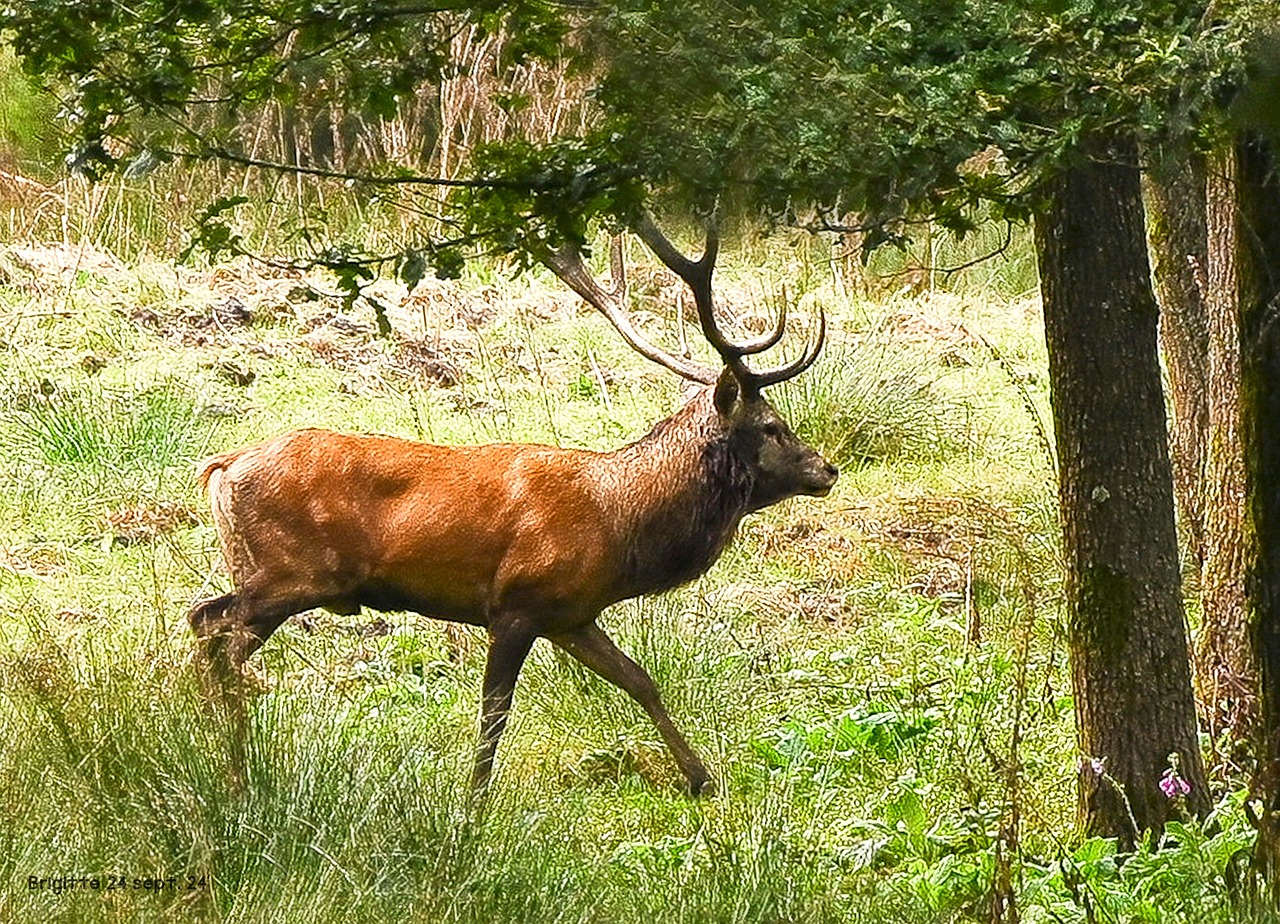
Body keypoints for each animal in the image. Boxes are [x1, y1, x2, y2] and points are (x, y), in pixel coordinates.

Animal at [187, 213, 838, 796]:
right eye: (773, 426)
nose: (826, 469)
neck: (618, 524)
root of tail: (222, 466)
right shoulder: (516, 602)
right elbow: (494, 715)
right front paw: (472, 808)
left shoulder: (572, 614)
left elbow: (639, 680)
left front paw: (702, 779)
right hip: (295, 572)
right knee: (214, 635)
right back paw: (234, 768)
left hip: (265, 571)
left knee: (207, 626)